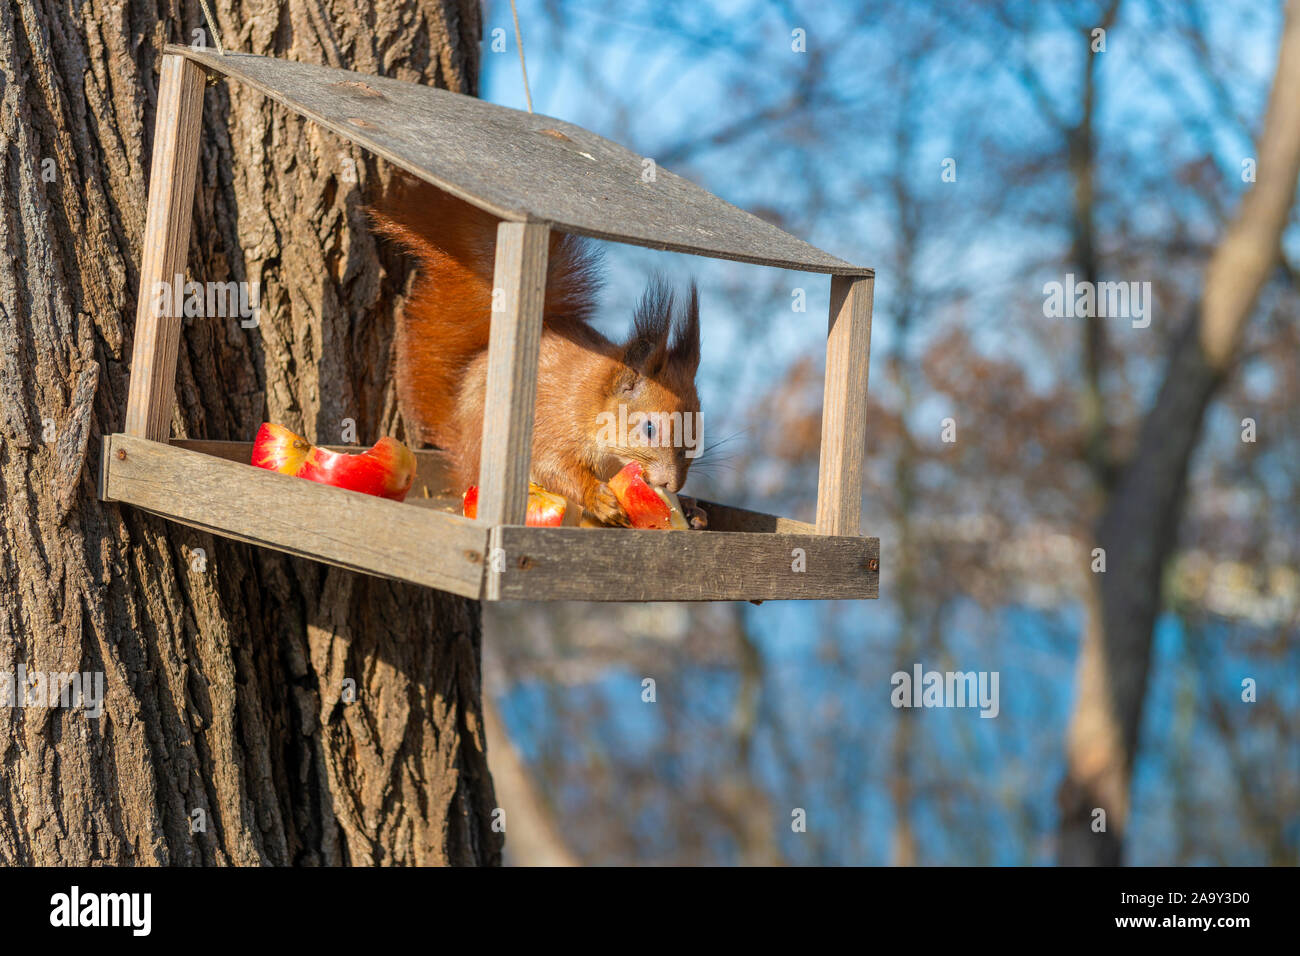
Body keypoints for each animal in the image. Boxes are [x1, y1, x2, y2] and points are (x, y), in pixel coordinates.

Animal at [370, 172, 706, 528]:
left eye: (697, 432)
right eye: (649, 428)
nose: (671, 484)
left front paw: (690, 508)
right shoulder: (558, 422)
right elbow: (552, 465)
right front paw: (599, 498)